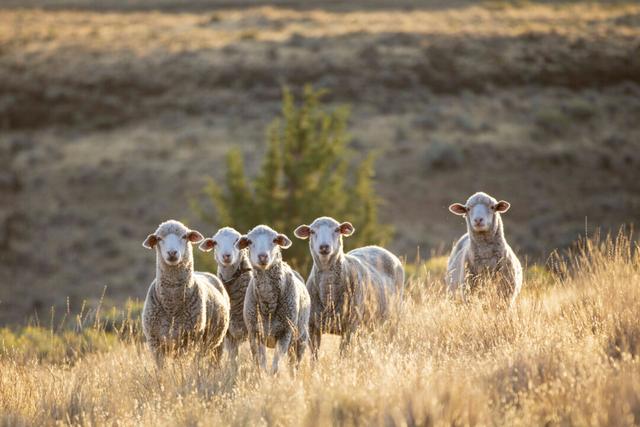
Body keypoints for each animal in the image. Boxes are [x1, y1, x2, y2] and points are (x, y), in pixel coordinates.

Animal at [141, 220, 230, 366]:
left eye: (185, 236)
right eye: (159, 238)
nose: (172, 253)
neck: (172, 306)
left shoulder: (189, 340)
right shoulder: (155, 343)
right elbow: (162, 368)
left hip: (217, 343)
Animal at [236, 225, 310, 374]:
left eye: (275, 240)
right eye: (250, 241)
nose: (263, 256)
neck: (268, 304)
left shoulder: (286, 332)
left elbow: (275, 366)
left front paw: (272, 378)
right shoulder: (255, 333)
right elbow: (261, 364)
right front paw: (262, 377)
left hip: (300, 339)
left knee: (294, 364)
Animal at [294, 216, 405, 359]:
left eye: (337, 230)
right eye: (312, 231)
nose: (324, 247)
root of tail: (378, 247)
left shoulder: (350, 326)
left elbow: (343, 354)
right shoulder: (312, 327)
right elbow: (314, 356)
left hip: (393, 319)